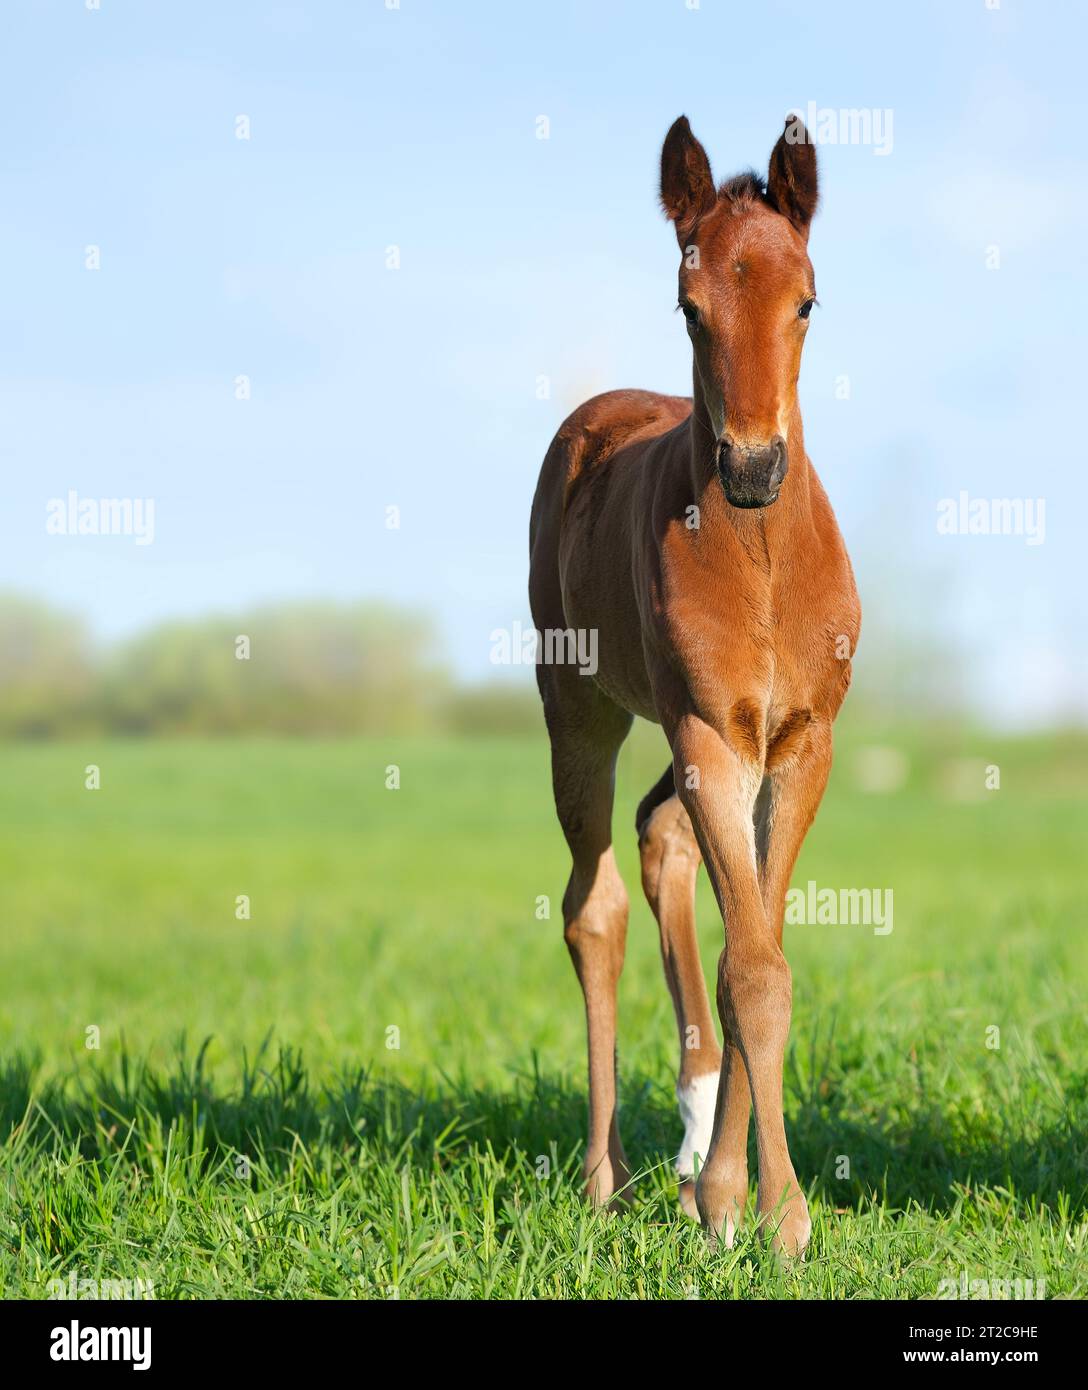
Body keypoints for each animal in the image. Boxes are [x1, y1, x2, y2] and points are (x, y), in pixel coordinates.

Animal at [528, 115, 860, 1256]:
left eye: (807, 300)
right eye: (689, 304)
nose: (753, 467)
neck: (760, 557)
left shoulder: (795, 742)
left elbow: (755, 953)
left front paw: (740, 1197)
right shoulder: (714, 735)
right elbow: (750, 965)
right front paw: (760, 1210)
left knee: (659, 838)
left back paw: (684, 1141)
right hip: (579, 707)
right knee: (593, 905)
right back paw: (607, 1175)